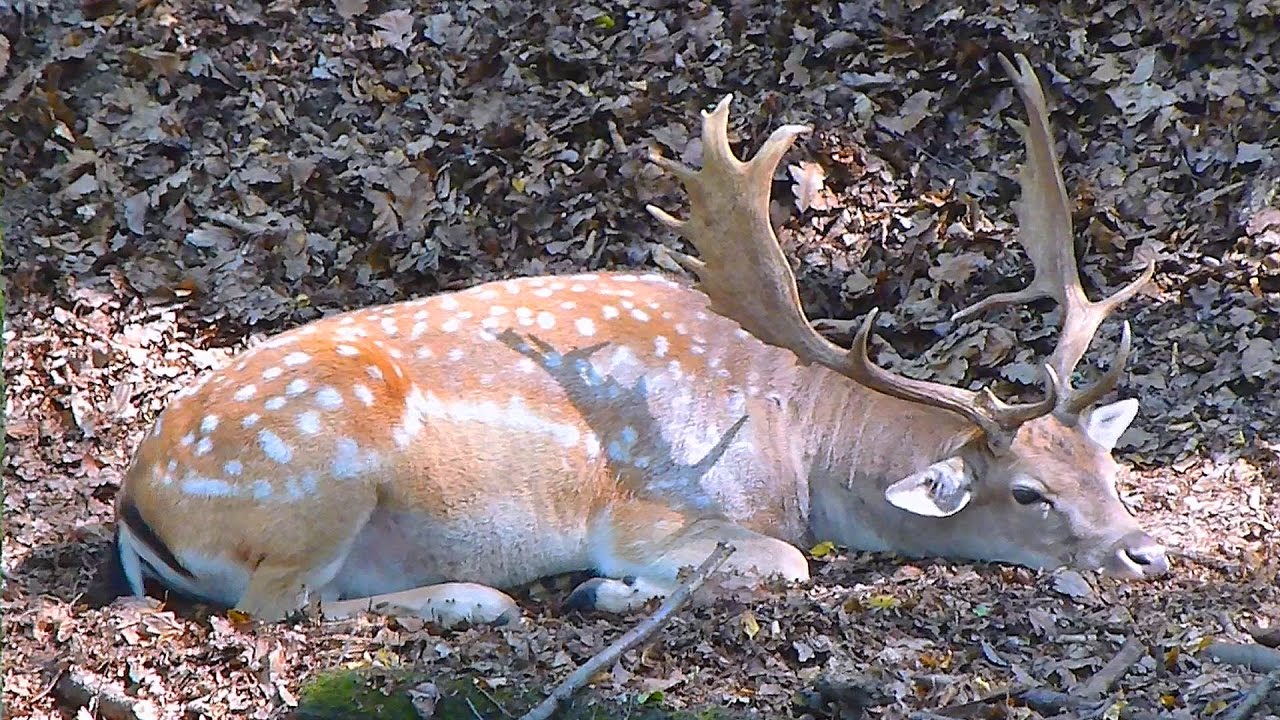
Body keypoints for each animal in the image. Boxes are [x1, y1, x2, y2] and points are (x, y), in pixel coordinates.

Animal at [98, 55, 1169, 628]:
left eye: (1106, 471)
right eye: (1027, 493)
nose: (1147, 552)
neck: (798, 447)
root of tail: (136, 505)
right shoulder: (651, 508)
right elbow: (779, 563)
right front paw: (603, 594)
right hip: (315, 479)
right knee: (275, 605)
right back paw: (480, 601)